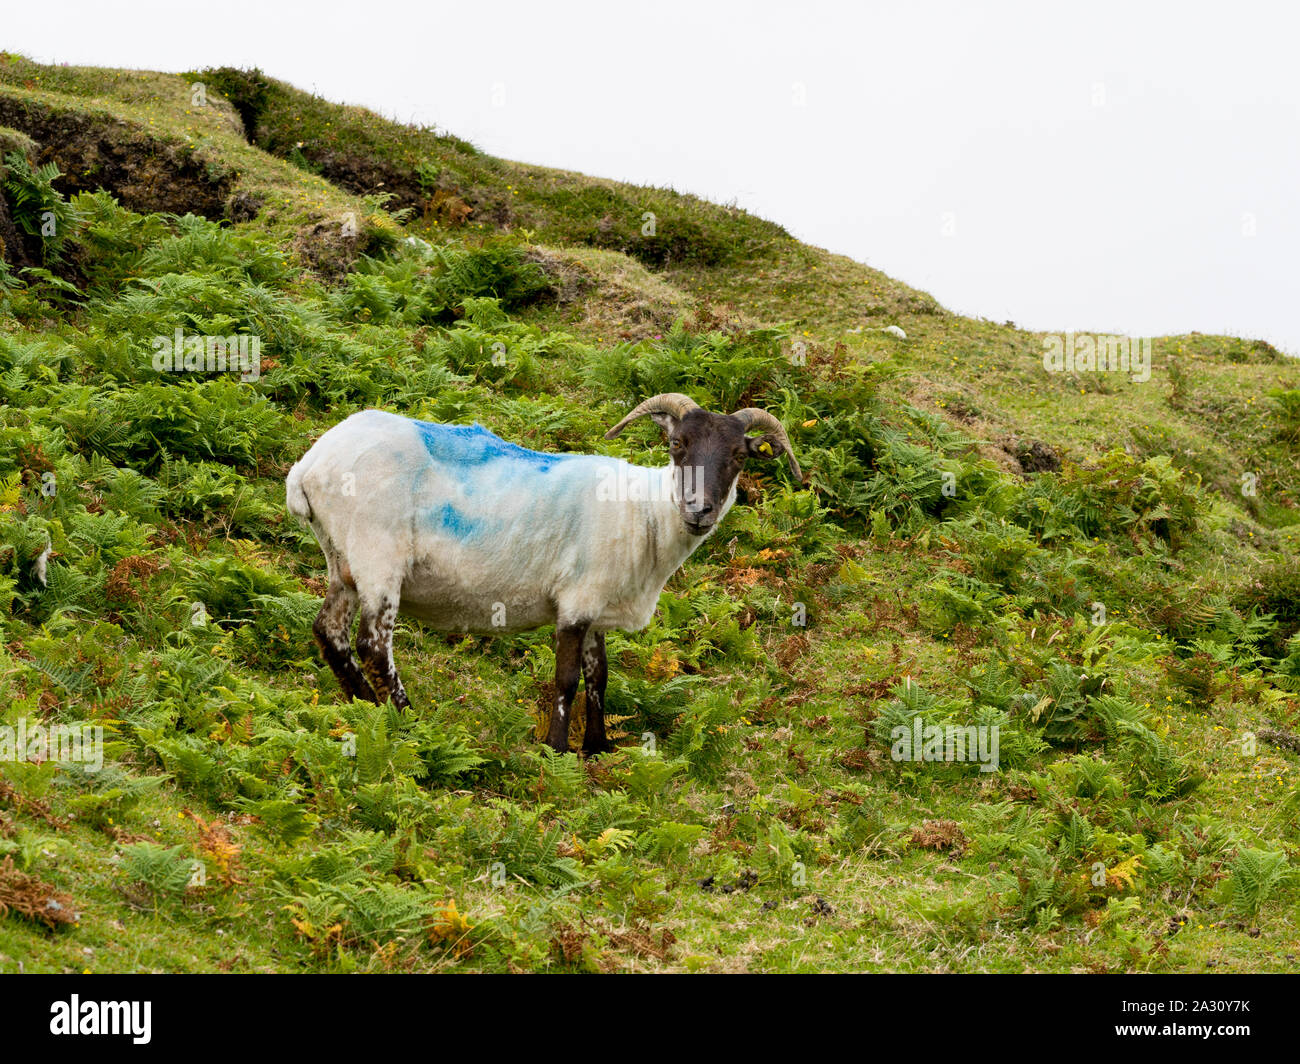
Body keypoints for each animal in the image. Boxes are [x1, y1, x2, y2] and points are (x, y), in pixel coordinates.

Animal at [285, 393, 802, 754]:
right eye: (677, 446)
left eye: (739, 457)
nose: (699, 510)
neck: (644, 513)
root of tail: (308, 467)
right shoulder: (575, 603)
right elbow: (567, 678)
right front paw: (556, 750)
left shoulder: (595, 606)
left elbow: (599, 676)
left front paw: (597, 747)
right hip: (378, 555)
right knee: (373, 644)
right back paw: (408, 719)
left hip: (343, 561)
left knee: (330, 632)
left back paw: (365, 706)